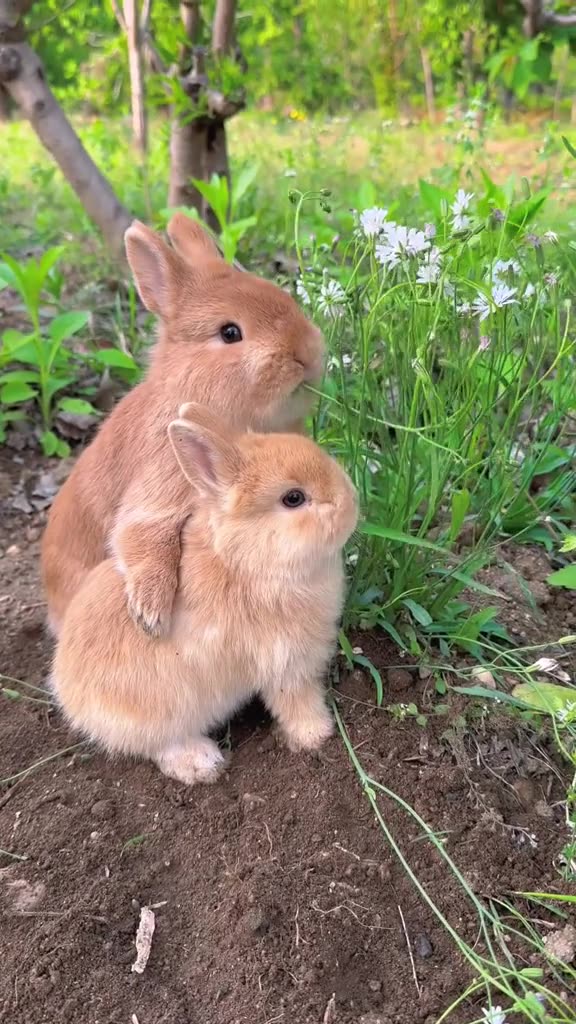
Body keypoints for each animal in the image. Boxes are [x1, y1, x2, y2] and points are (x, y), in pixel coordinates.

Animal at [50, 403, 358, 785]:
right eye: (293, 498)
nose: (352, 502)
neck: (247, 563)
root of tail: (66, 689)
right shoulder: (285, 661)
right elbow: (296, 702)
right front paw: (318, 735)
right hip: (163, 712)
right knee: (157, 745)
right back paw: (202, 763)